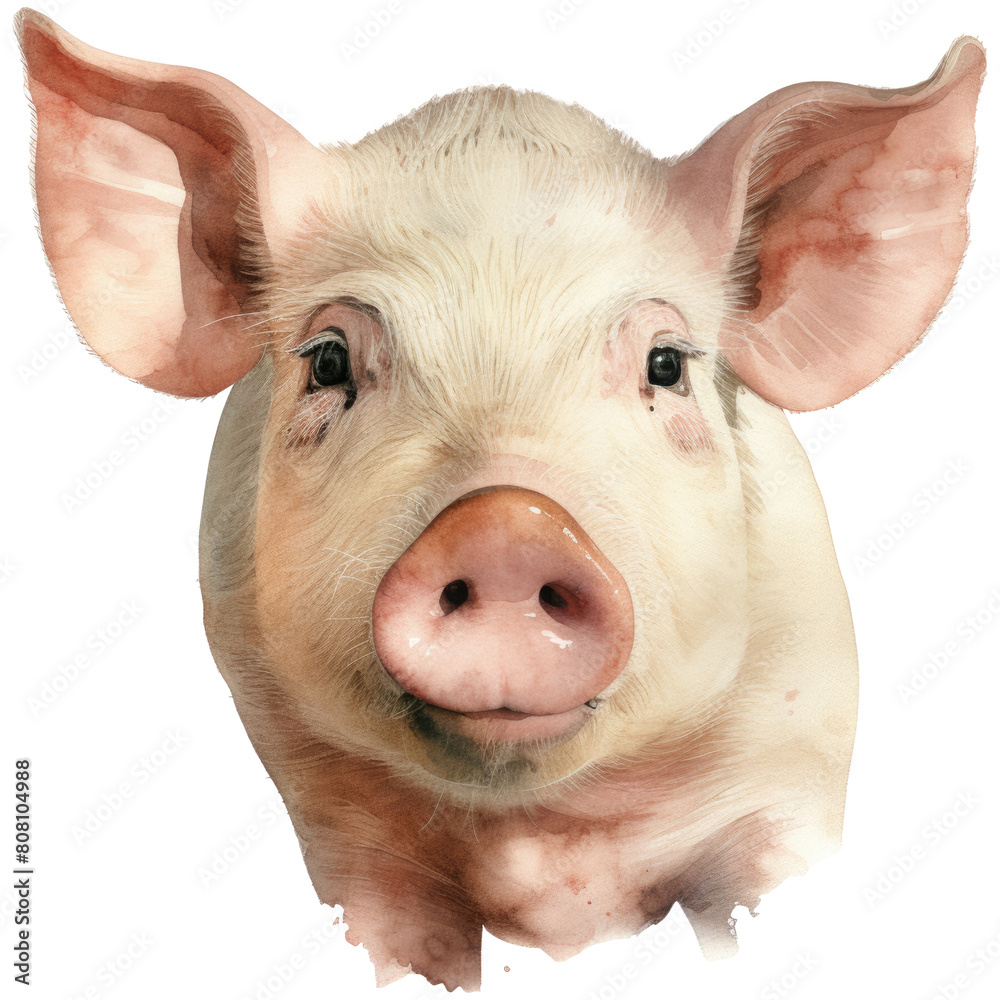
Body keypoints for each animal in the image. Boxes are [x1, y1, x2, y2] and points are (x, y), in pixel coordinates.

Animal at [16, 8, 984, 991]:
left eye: (665, 364)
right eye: (327, 360)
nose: (510, 526)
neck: (538, 838)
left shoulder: (784, 782)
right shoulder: (348, 846)